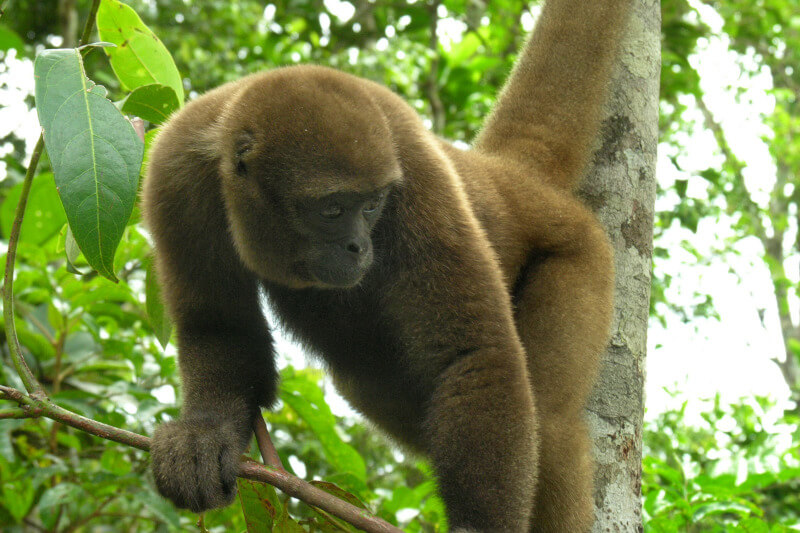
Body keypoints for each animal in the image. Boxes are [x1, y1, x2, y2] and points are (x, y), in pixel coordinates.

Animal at [143, 0, 631, 530]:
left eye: (374, 205)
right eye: (332, 209)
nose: (359, 247)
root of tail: (509, 174)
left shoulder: (413, 165)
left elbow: (476, 353)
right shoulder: (173, 171)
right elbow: (216, 323)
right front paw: (205, 434)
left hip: (579, 253)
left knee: (551, 423)